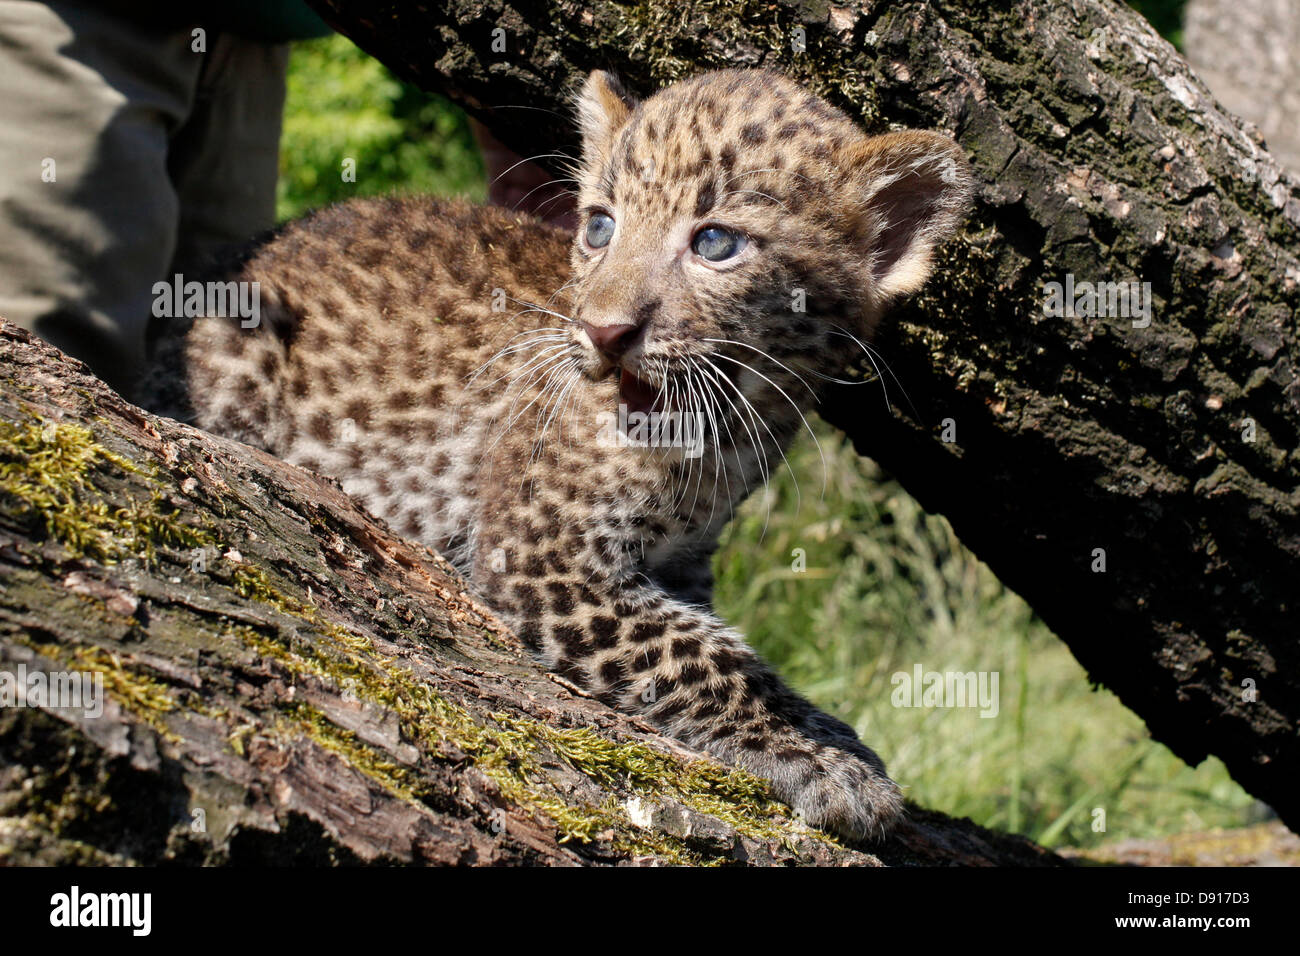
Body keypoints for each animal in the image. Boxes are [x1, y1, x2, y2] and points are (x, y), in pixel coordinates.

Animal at [141, 67, 974, 841]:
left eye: (715, 243)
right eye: (600, 227)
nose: (604, 332)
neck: (721, 442)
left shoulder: (683, 561)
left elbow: (720, 636)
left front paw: (829, 730)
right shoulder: (546, 553)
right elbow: (700, 654)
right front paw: (818, 759)